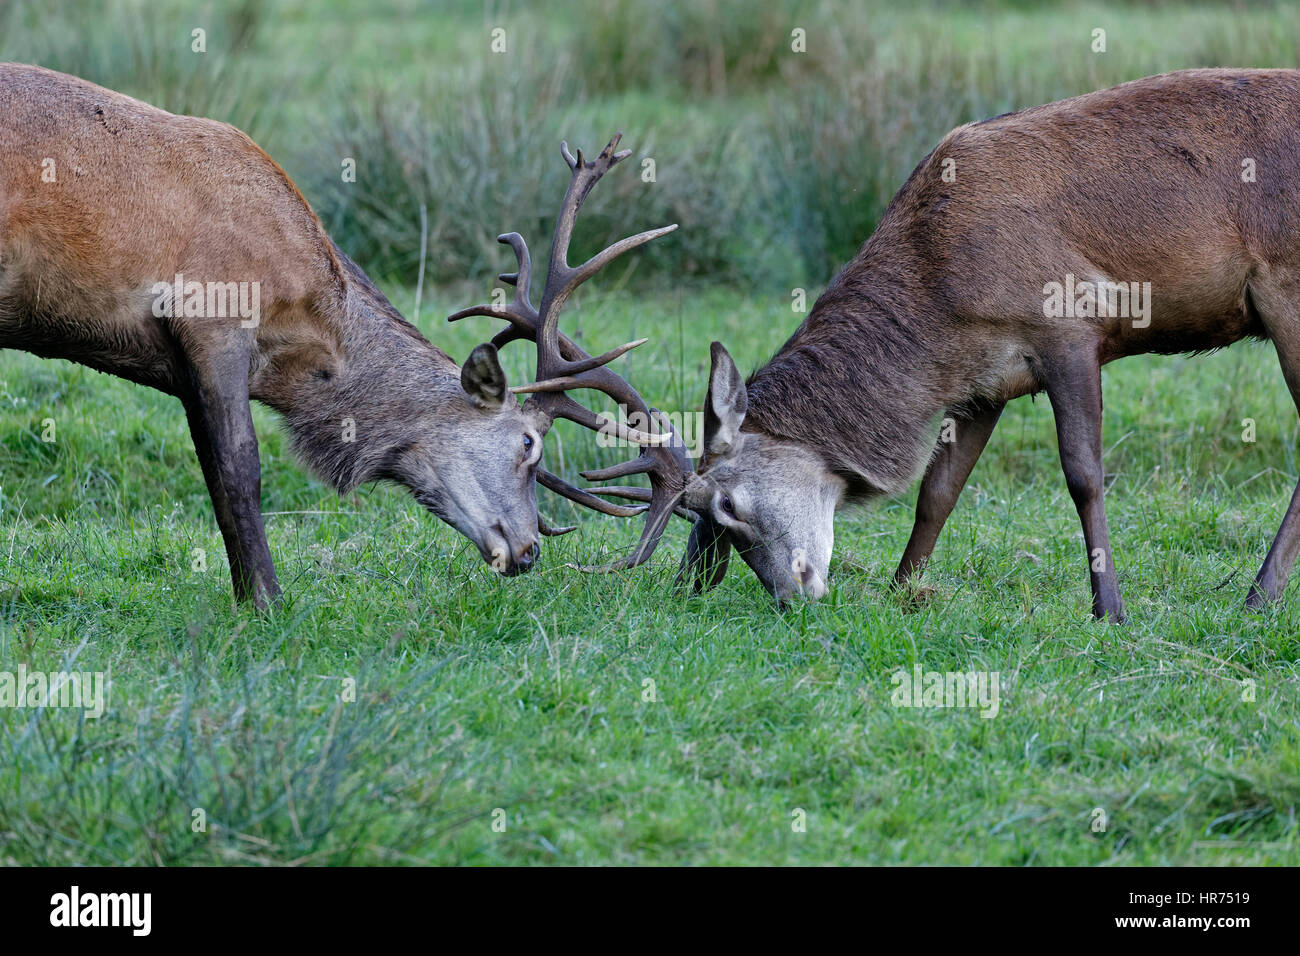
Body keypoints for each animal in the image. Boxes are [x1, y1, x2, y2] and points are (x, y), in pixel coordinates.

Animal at [0, 63, 673, 606]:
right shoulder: (214, 318)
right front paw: (268, 602)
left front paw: (245, 594)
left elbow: (212, 477)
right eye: (528, 444)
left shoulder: (182, 364)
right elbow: (239, 470)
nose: (531, 551)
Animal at [558, 68, 1300, 620]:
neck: (940, 295)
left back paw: (1257, 596)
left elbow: (1084, 475)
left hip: (1286, 290)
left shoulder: (1070, 325)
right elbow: (937, 491)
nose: (790, 597)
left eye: (727, 507)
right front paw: (898, 592)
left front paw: (1109, 610)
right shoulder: (984, 381)